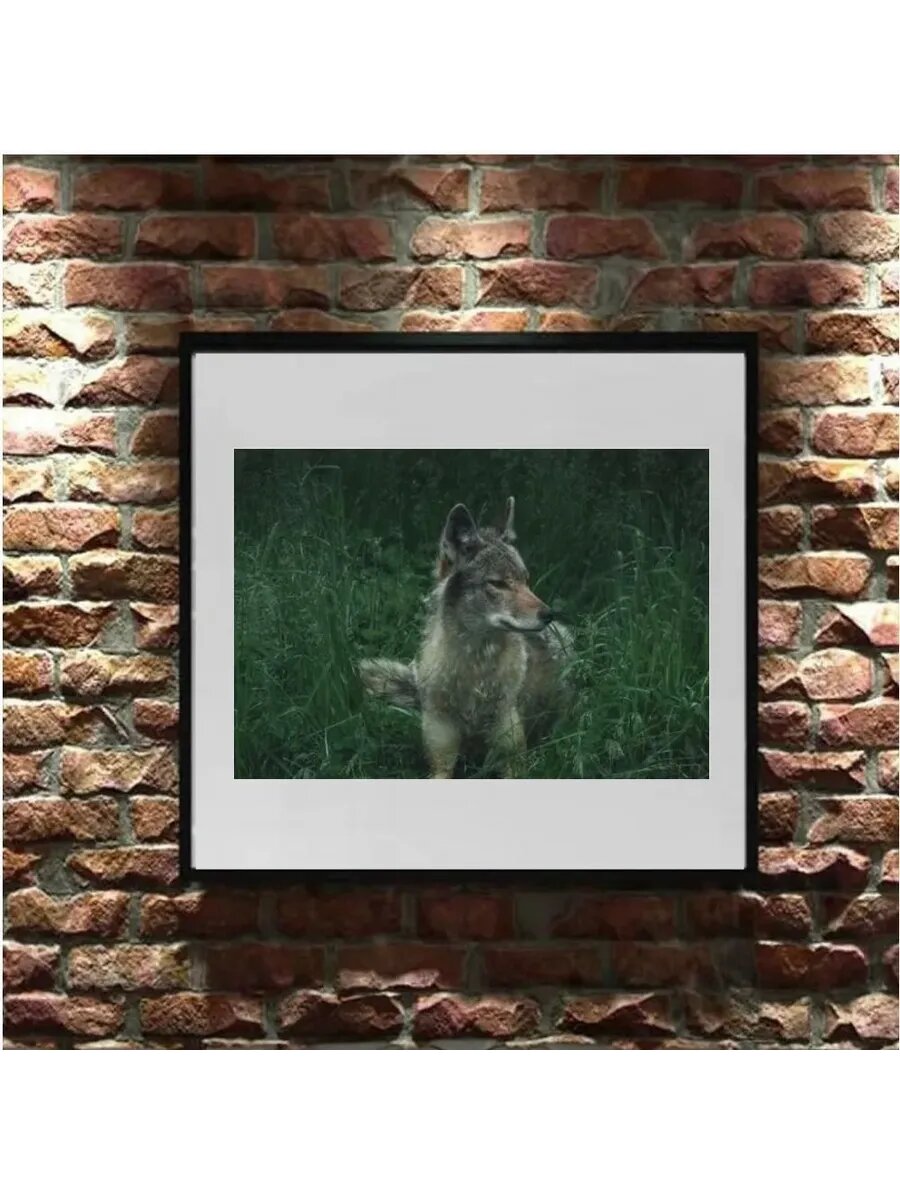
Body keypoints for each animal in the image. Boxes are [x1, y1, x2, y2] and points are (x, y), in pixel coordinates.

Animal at [359, 497, 572, 778]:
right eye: (498, 584)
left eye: (526, 581)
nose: (548, 614)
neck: (476, 674)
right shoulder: (440, 763)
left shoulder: (513, 760)